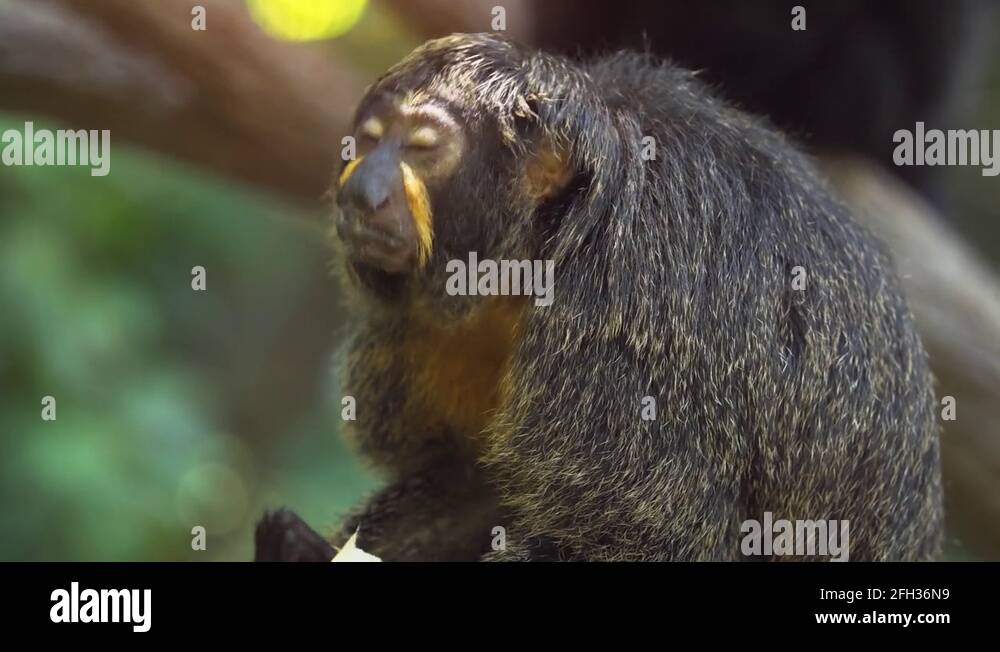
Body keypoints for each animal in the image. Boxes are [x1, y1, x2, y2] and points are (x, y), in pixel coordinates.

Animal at [254, 33, 942, 562]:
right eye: (369, 142)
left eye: (424, 149)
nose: (361, 192)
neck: (538, 247)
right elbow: (473, 480)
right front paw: (297, 547)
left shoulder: (633, 308)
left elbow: (646, 537)